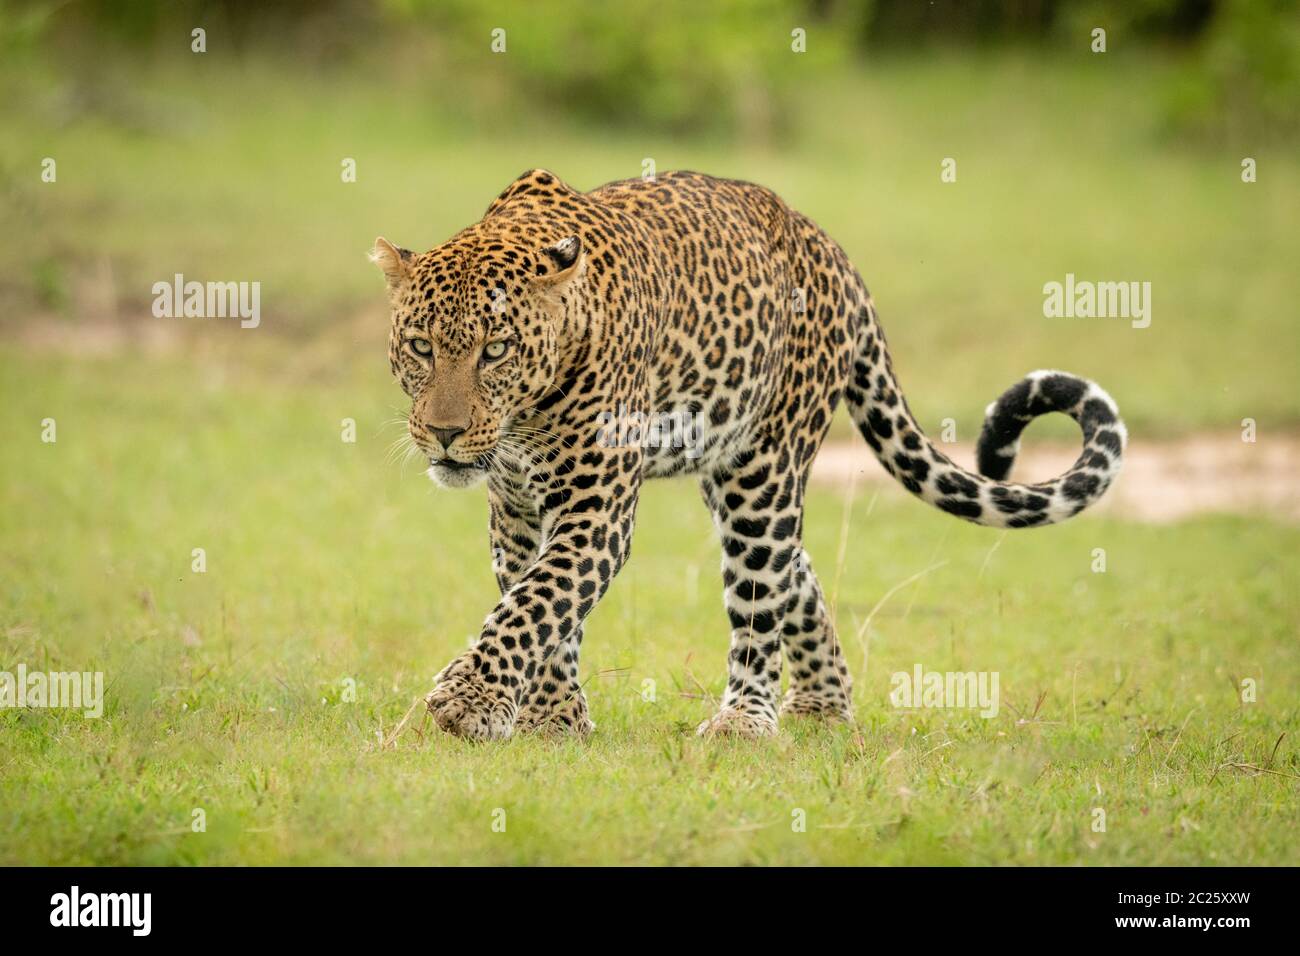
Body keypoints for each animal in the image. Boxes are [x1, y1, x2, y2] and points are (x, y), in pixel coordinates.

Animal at [371, 168, 1126, 741]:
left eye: (496, 350)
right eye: (421, 347)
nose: (443, 432)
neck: (524, 418)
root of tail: (832, 250)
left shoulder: (596, 511)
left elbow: (541, 600)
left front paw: (470, 701)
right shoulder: (516, 511)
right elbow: (537, 605)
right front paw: (550, 720)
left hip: (764, 472)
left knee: (763, 592)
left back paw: (746, 723)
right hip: (729, 464)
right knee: (797, 571)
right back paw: (822, 709)